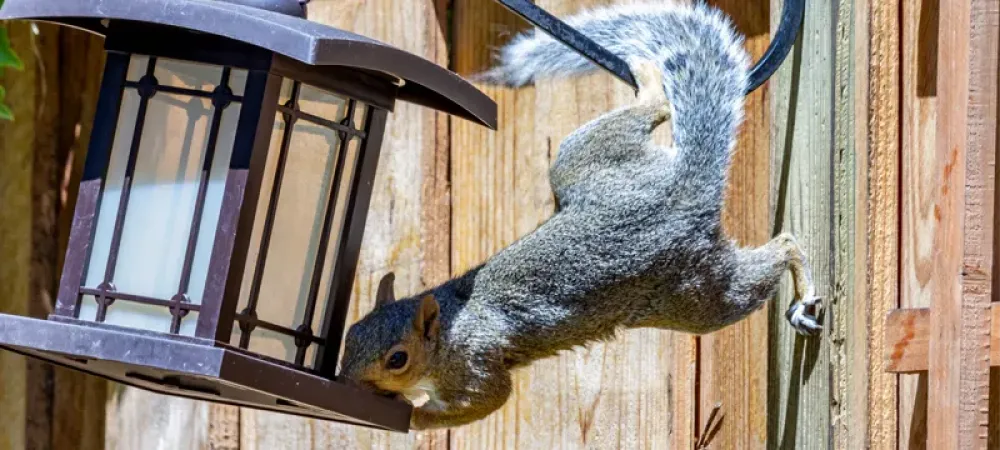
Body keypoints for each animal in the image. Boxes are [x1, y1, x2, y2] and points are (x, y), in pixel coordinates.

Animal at [339, 2, 822, 430]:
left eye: (397, 359)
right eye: (350, 336)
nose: (345, 381)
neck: (448, 331)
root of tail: (681, 189)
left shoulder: (476, 365)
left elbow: (487, 400)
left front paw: (413, 414)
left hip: (697, 294)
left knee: (778, 251)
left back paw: (802, 291)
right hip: (584, 159)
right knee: (652, 112)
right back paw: (649, 83)